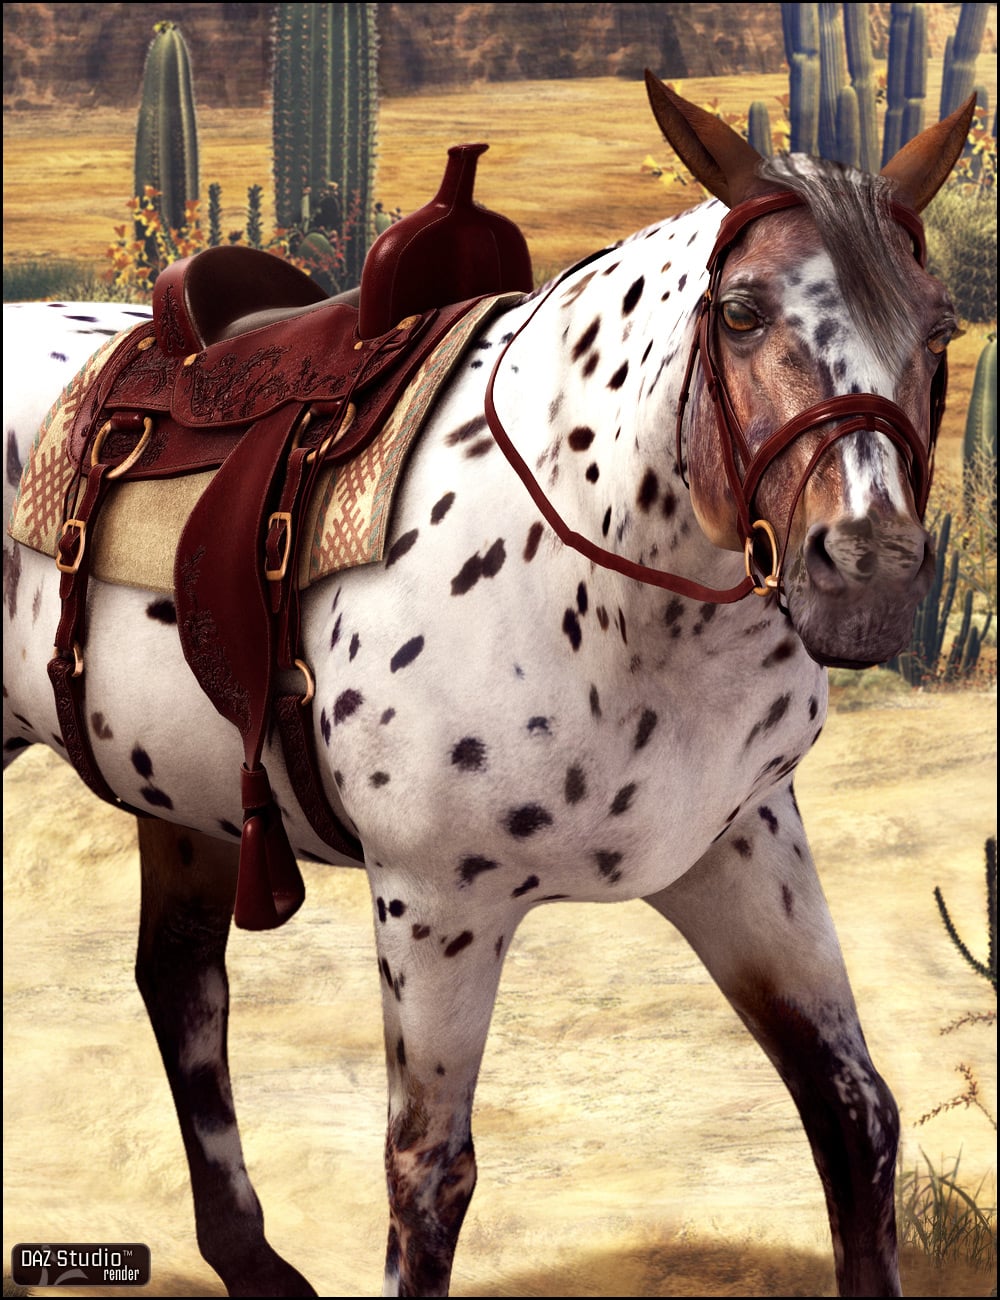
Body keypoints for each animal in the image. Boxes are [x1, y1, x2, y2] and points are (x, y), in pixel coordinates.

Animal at [2, 78, 975, 1297]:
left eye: (938, 330)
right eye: (744, 313)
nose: (869, 574)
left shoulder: (744, 843)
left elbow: (854, 1111)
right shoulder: (436, 906)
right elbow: (429, 1180)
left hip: (182, 795)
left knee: (182, 984)